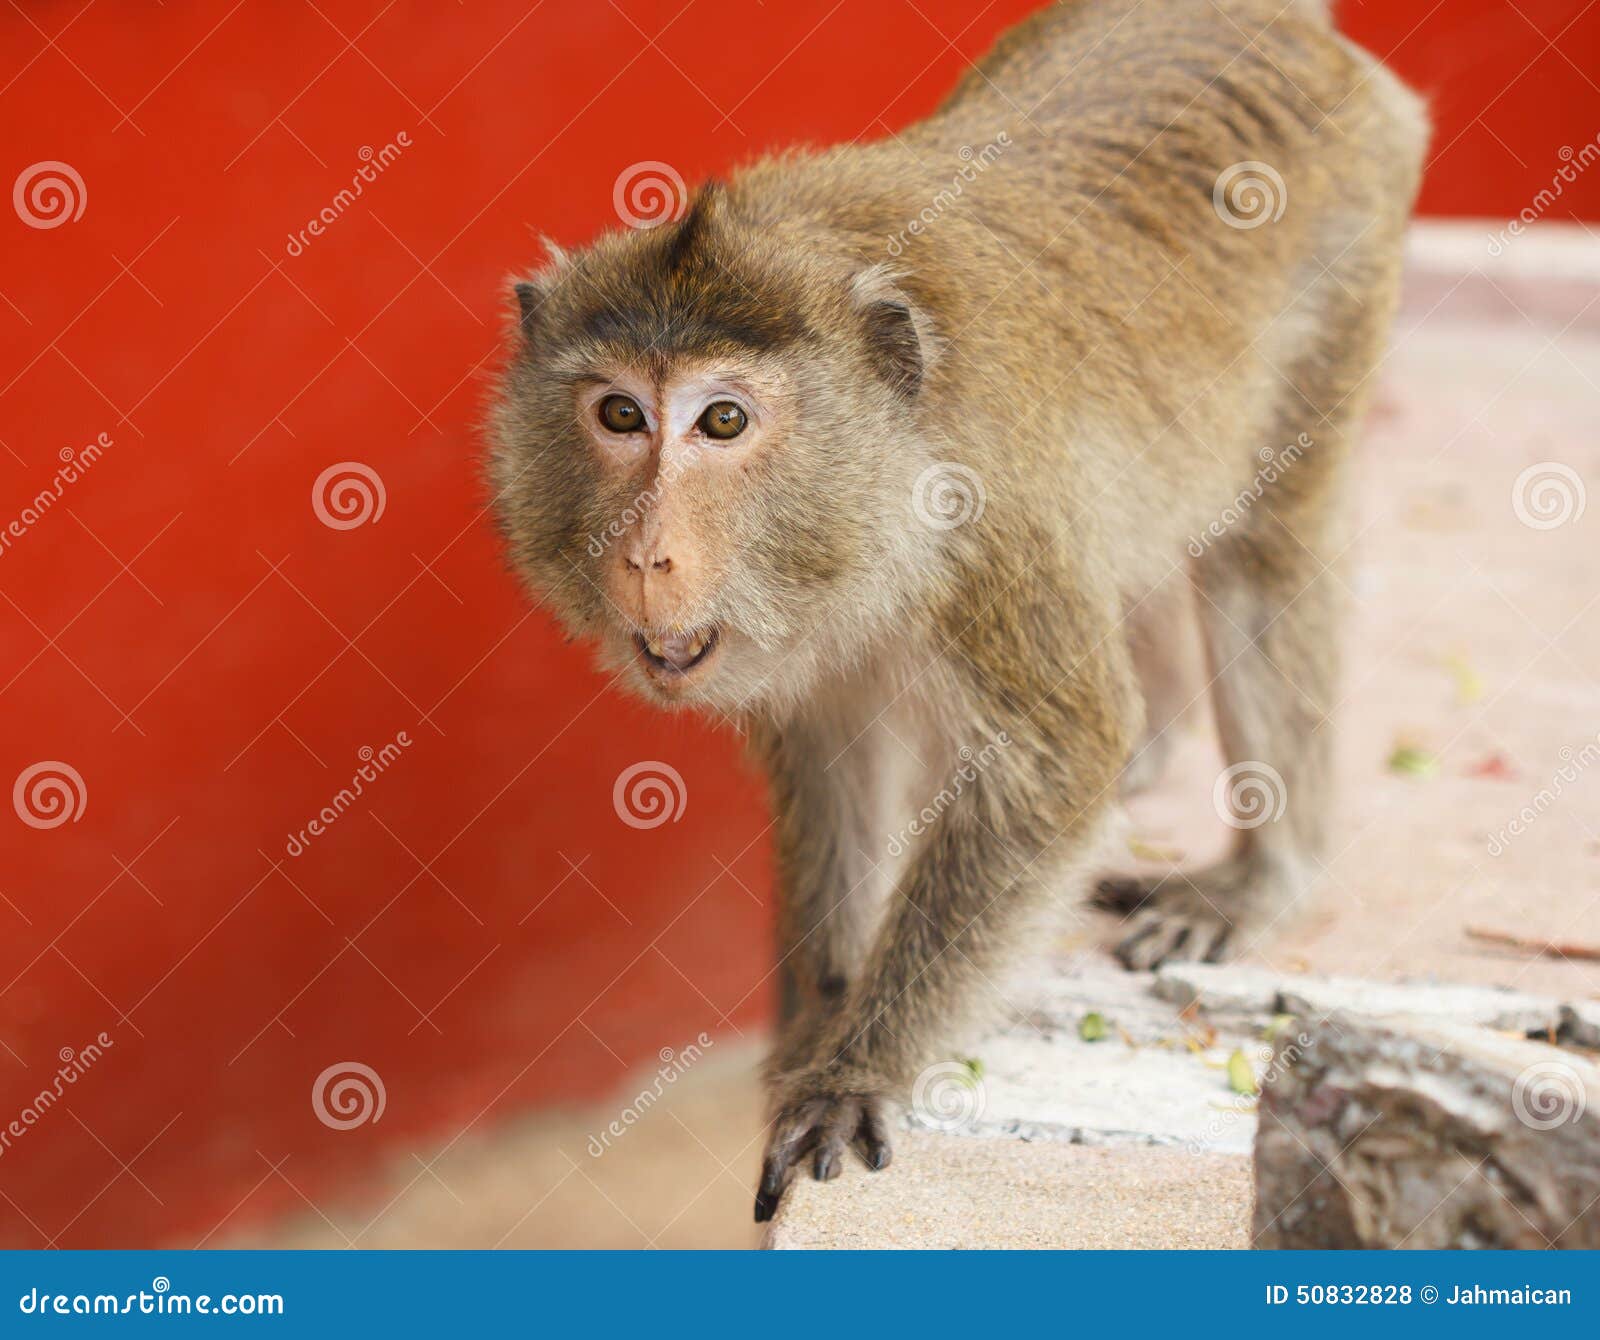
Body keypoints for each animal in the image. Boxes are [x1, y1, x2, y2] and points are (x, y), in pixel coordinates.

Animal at [488, 0, 1427, 1225]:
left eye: (722, 420)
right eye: (617, 414)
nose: (647, 551)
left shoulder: (989, 517)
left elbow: (1058, 756)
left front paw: (858, 1068)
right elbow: (834, 751)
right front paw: (821, 1009)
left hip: (1350, 250)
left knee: (1263, 548)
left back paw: (1266, 876)